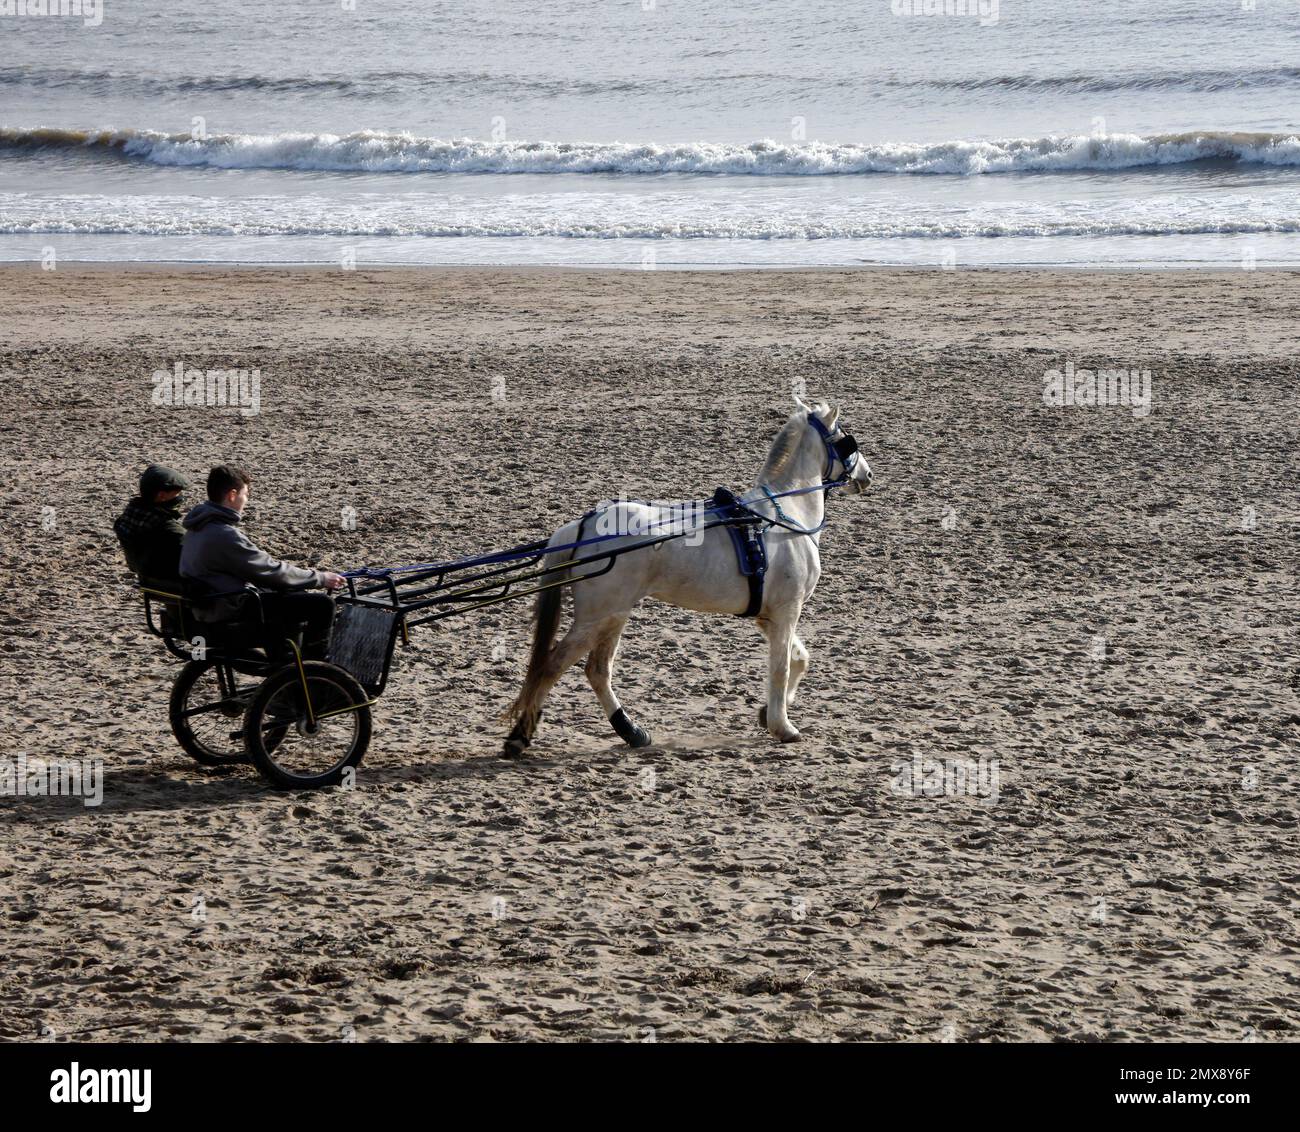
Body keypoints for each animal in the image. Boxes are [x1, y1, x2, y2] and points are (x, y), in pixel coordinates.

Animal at [502, 397, 872, 756]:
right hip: (596, 617)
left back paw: (630, 731)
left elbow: (799, 659)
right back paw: (519, 736)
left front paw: (768, 713)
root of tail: (584, 524)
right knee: (552, 666)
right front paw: (783, 726)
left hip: (614, 615)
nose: (867, 475)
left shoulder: (769, 617)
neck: (784, 515)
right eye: (846, 439)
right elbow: (780, 668)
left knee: (597, 670)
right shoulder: (787, 610)